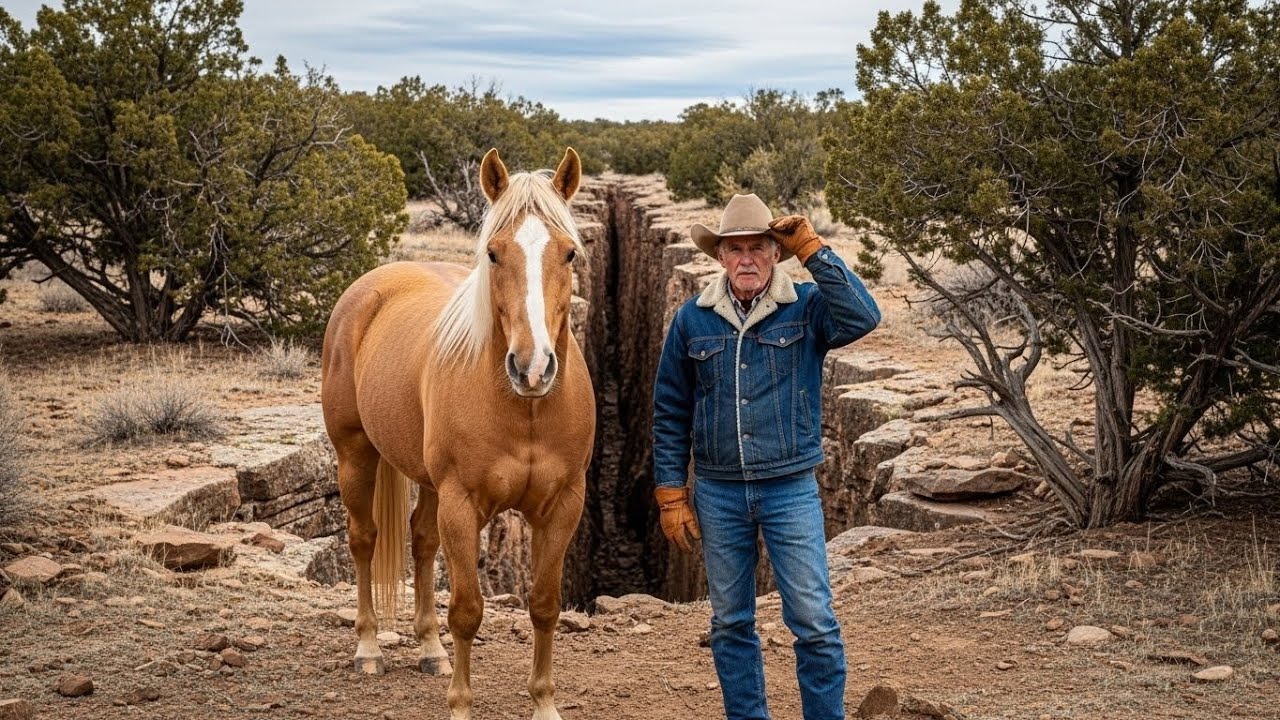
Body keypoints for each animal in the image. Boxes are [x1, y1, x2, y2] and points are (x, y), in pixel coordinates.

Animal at [320, 147, 595, 720]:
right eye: (492, 253)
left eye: (569, 255)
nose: (532, 368)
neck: (524, 411)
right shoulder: (462, 504)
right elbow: (467, 609)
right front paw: (462, 706)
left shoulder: (563, 504)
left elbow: (545, 605)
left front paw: (544, 703)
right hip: (355, 455)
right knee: (363, 539)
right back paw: (368, 649)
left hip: (426, 482)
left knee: (422, 542)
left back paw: (430, 650)